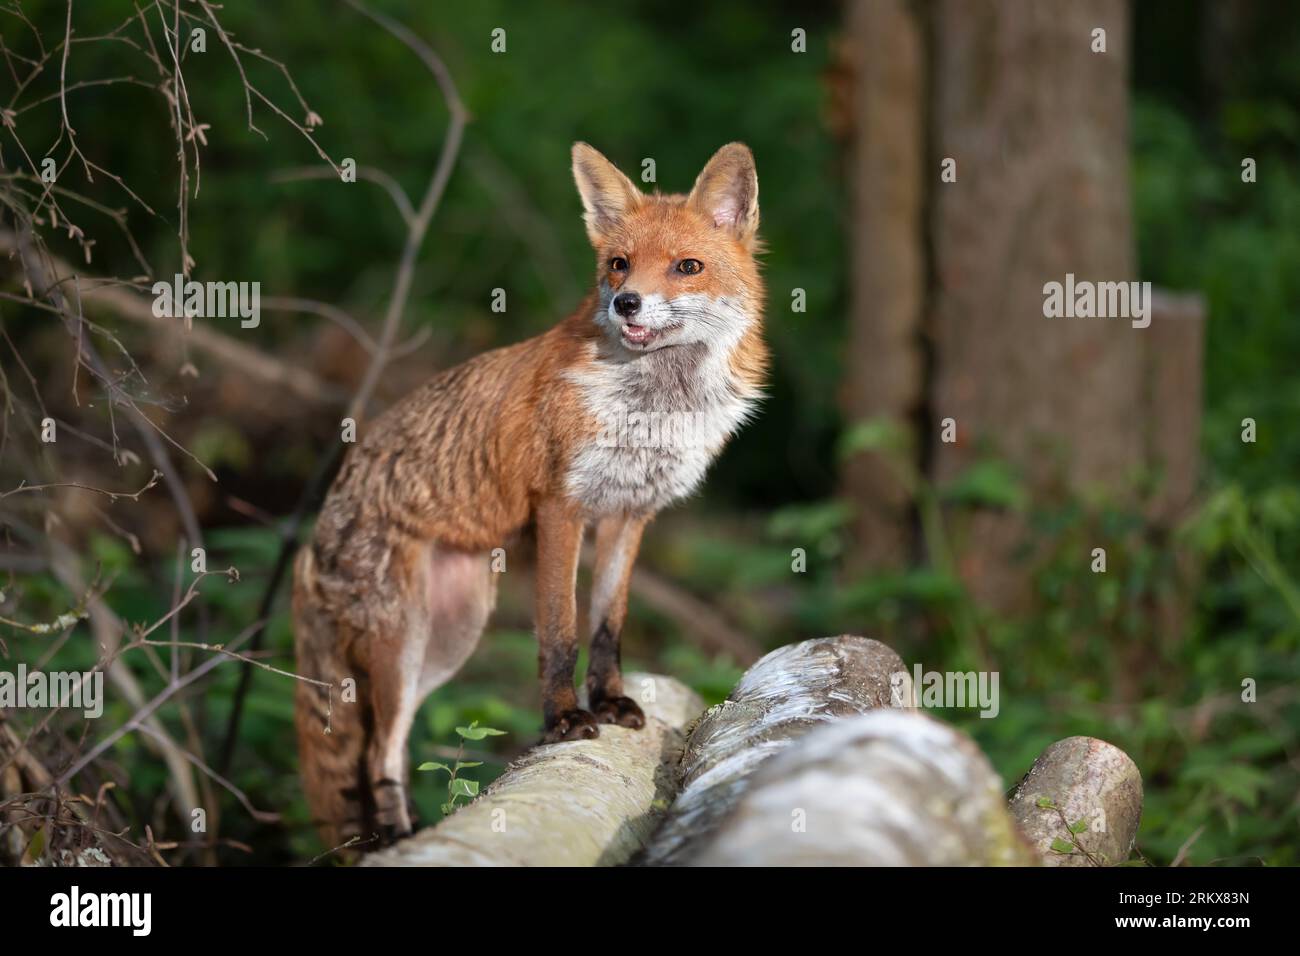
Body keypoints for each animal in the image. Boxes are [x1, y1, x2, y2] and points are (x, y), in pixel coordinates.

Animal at [293, 142, 766, 848]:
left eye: (687, 267)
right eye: (618, 264)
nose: (627, 303)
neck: (658, 406)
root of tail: (314, 536)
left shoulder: (630, 515)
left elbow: (607, 625)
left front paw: (611, 702)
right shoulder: (560, 509)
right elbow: (560, 630)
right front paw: (564, 720)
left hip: (449, 639)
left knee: (392, 747)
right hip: (404, 641)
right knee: (378, 749)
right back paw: (399, 839)